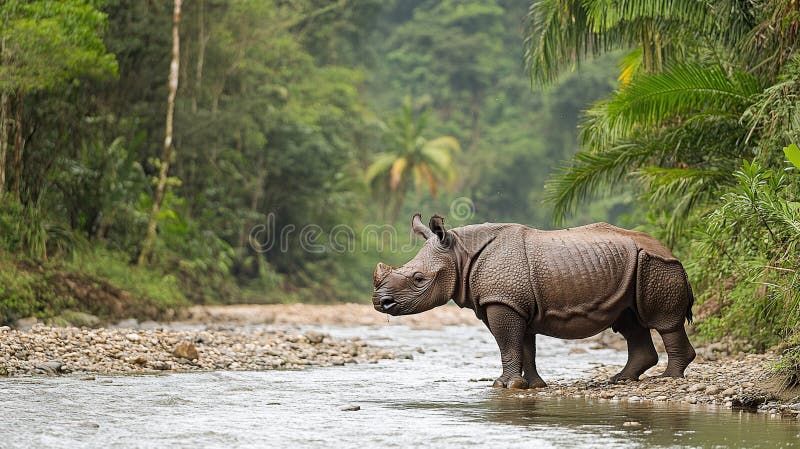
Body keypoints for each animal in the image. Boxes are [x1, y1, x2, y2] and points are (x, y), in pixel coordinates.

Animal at [372, 214, 696, 389]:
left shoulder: (502, 302)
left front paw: (504, 385)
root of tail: (673, 254)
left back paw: (669, 378)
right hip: (634, 266)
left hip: (657, 266)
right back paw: (620, 380)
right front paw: (533, 385)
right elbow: (524, 346)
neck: (460, 254)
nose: (380, 303)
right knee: (629, 322)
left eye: (418, 279)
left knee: (662, 322)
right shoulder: (513, 303)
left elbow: (508, 345)